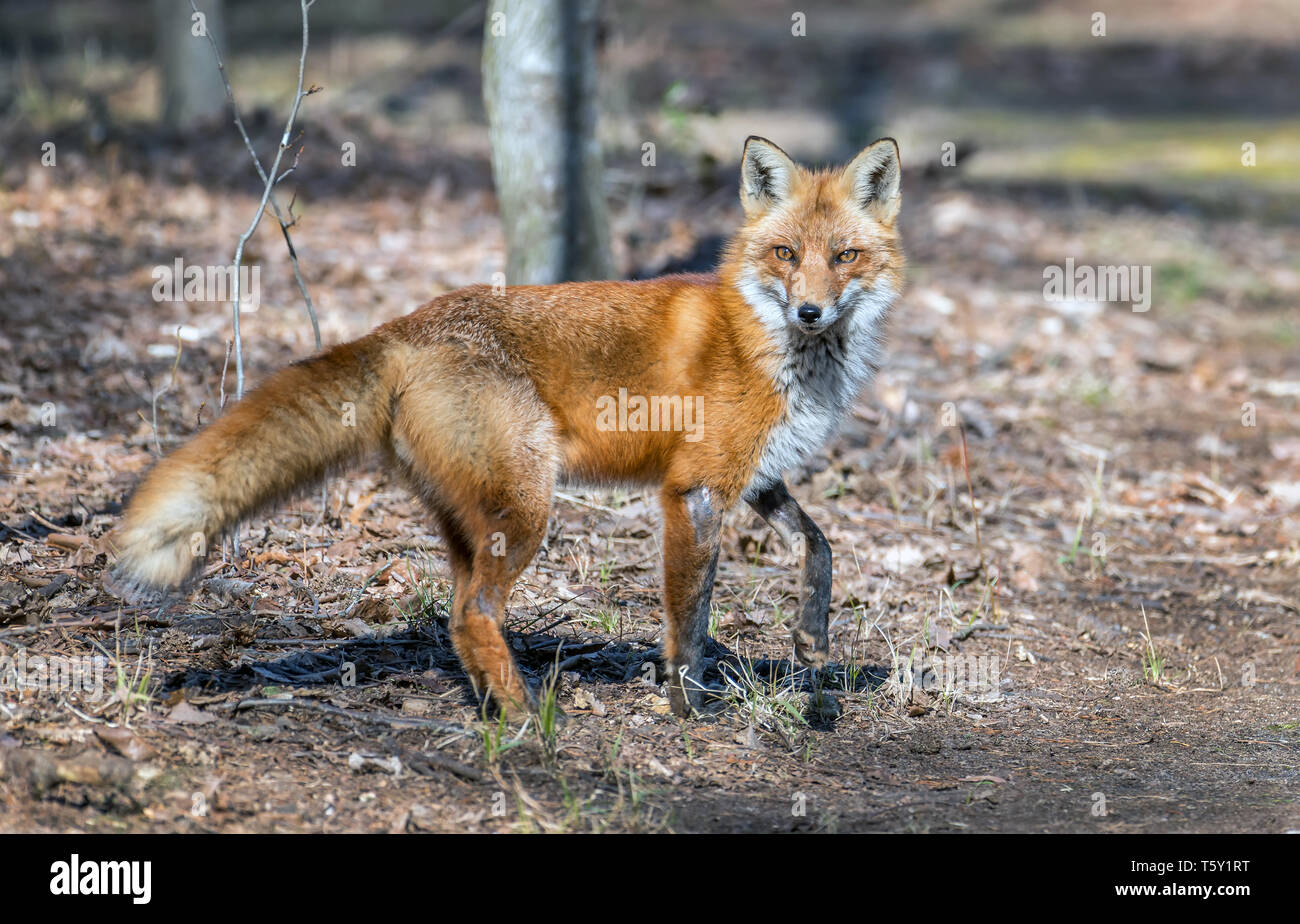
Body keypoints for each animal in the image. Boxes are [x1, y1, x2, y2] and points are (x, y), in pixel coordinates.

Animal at [107, 136, 904, 719]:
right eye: (785, 254)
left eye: (845, 256)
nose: (809, 311)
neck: (772, 344)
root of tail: (404, 326)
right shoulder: (695, 489)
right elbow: (690, 619)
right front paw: (688, 707)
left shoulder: (757, 476)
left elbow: (821, 549)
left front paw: (812, 643)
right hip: (526, 510)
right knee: (473, 612)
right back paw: (527, 720)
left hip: (473, 517)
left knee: (460, 616)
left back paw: (493, 704)